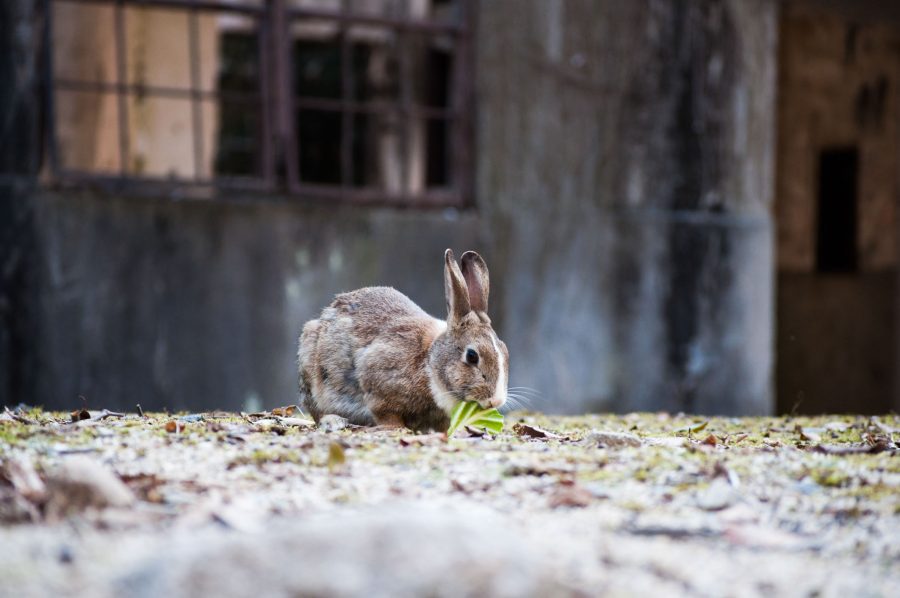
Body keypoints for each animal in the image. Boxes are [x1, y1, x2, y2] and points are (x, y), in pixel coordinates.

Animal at [297, 249, 508, 431]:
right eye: (472, 356)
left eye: (505, 351)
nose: (495, 401)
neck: (430, 363)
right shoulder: (377, 382)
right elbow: (385, 412)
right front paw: (395, 428)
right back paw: (333, 420)